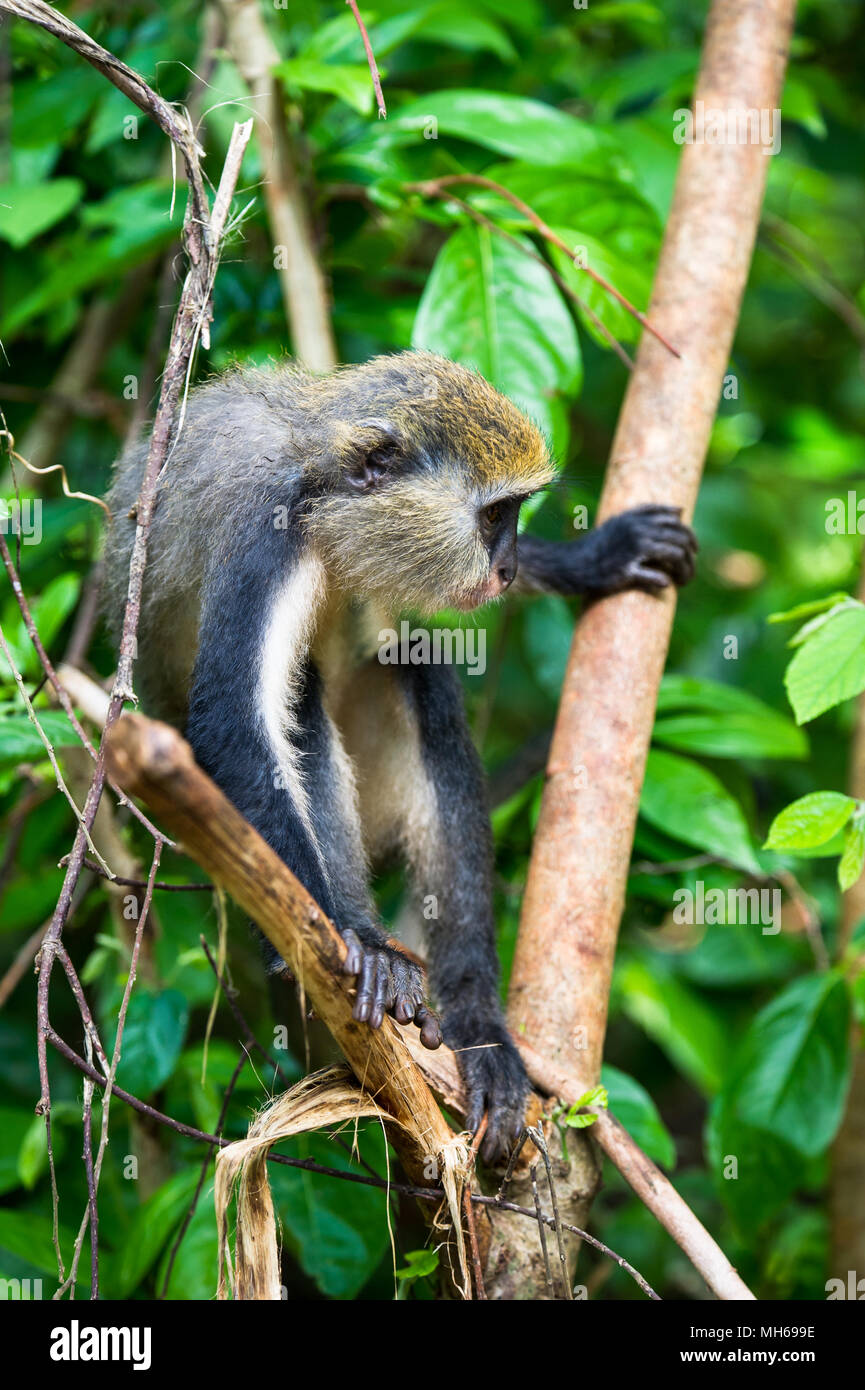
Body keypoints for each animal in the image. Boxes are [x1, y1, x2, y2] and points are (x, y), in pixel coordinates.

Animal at [104, 350, 696, 1163]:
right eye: (493, 517)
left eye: (516, 517)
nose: (507, 568)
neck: (320, 486)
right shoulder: (263, 537)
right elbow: (233, 723)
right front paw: (349, 937)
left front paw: (595, 556)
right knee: (302, 704)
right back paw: (360, 944)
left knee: (416, 674)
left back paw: (477, 1031)